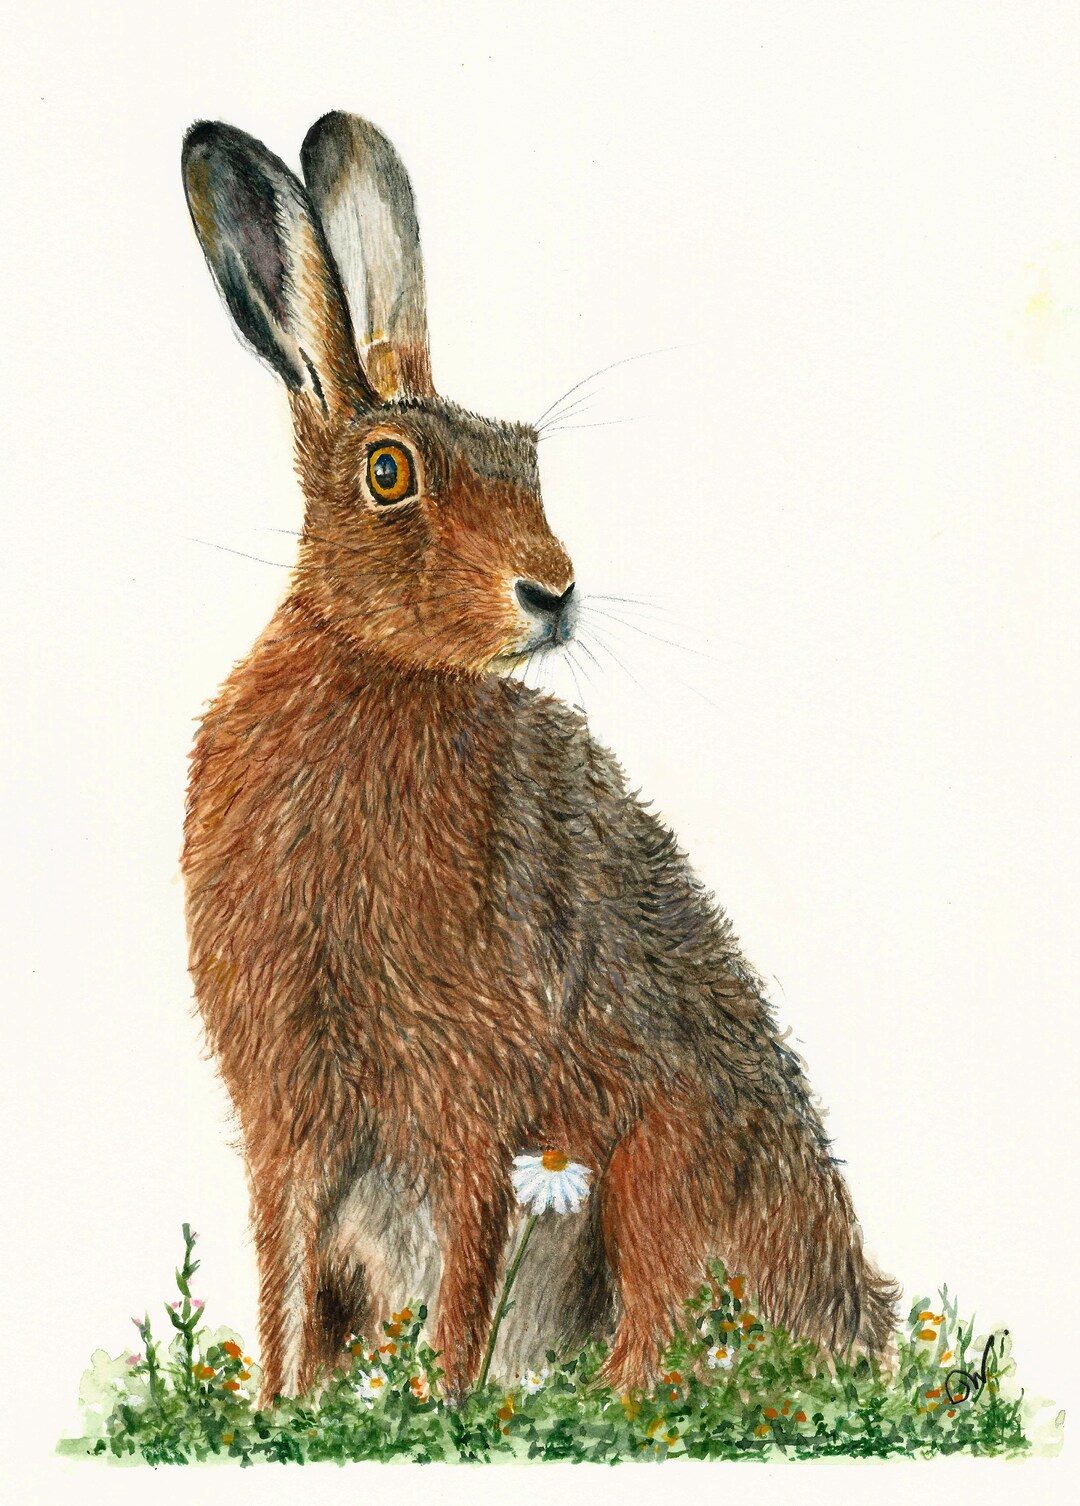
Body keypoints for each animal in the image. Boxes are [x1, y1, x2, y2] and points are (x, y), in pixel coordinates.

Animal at [180, 110, 899, 1406]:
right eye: (388, 473)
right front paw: (283, 1408)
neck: (377, 668)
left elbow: (463, 1273)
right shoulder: (288, 1112)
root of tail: (855, 1309)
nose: (553, 593)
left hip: (665, 1170)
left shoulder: (471, 1093)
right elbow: (285, 1278)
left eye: (526, 459)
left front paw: (442, 1405)